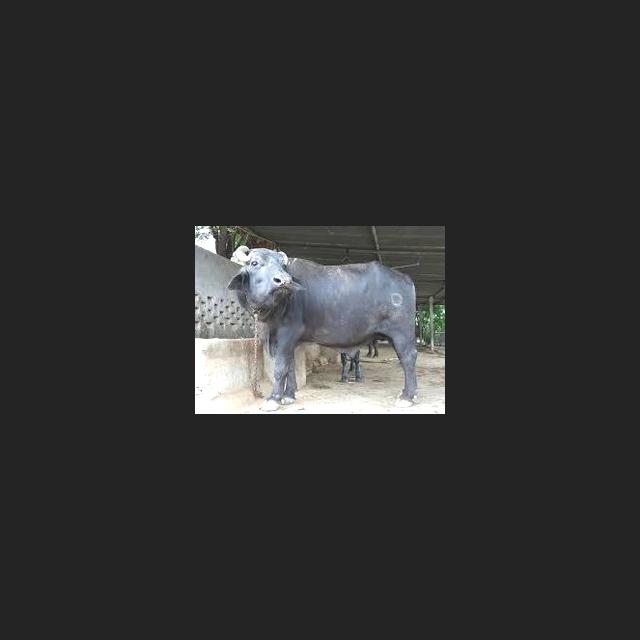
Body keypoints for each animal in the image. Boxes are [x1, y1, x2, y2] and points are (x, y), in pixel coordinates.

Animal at [228, 247, 418, 411]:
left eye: (282, 265)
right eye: (254, 263)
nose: (284, 281)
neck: (275, 310)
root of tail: (405, 279)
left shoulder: (286, 334)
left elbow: (281, 367)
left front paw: (273, 399)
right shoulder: (290, 341)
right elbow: (290, 366)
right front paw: (288, 396)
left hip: (401, 333)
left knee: (408, 357)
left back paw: (407, 397)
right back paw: (409, 393)